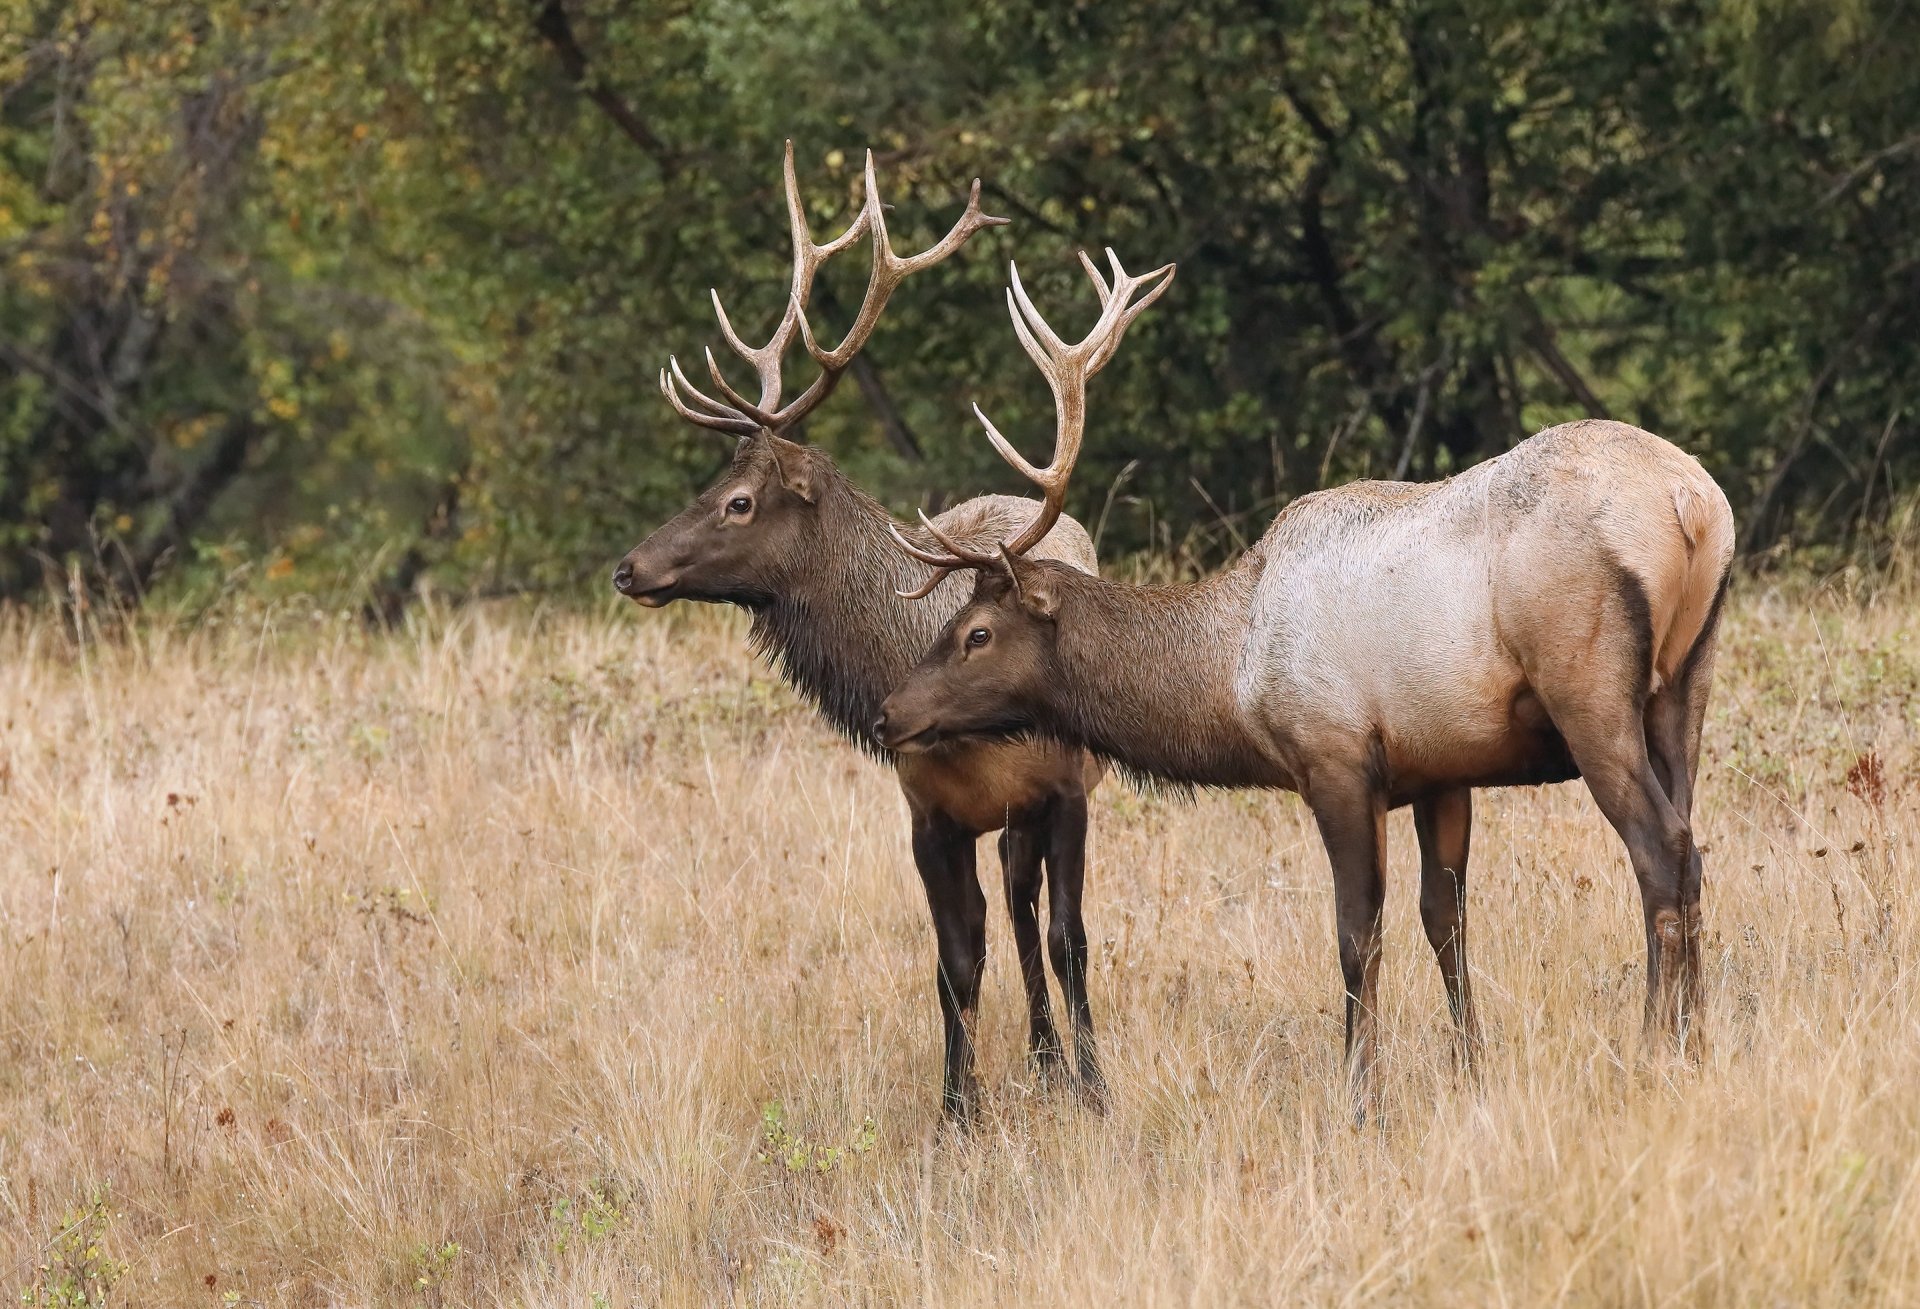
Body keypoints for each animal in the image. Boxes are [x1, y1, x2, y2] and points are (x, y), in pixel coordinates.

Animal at [611, 145, 1171, 1120]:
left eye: (739, 500)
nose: (630, 567)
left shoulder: (1067, 787)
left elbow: (1072, 938)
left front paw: (1098, 1089)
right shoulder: (927, 814)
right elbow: (954, 960)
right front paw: (958, 1108)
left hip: (1042, 806)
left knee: (1031, 912)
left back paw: (1058, 1061)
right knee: (1008, 911)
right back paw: (1038, 1057)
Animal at [874, 251, 1737, 1115]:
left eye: (977, 633)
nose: (887, 715)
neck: (1235, 672)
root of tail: (1693, 503)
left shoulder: (1335, 756)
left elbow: (1358, 933)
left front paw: (1361, 1096)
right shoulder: (1441, 769)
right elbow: (1445, 921)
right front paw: (1469, 1068)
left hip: (1589, 684)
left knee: (1659, 849)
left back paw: (1655, 1047)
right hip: (1685, 683)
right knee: (1691, 848)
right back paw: (1697, 1041)